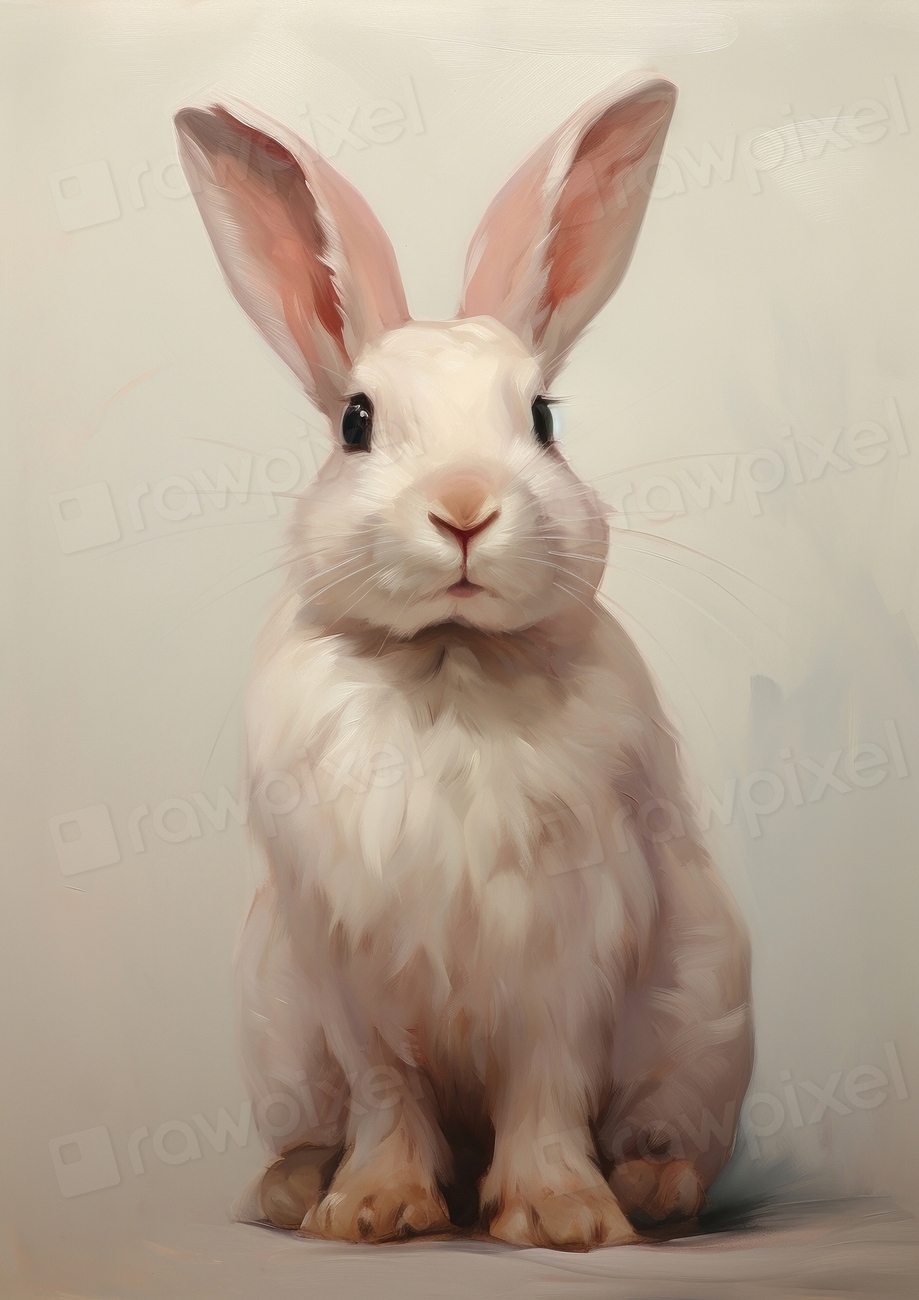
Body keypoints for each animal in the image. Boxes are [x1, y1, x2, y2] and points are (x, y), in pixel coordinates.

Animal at [174, 69, 753, 1252]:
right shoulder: (346, 965)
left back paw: (652, 1190)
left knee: (674, 1134)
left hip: (701, 1031)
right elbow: (386, 1092)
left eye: (543, 418)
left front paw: (564, 1219)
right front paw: (370, 1213)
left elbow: (546, 1086)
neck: (449, 659)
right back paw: (292, 1191)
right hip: (280, 1035)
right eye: (355, 421)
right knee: (314, 1124)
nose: (463, 509)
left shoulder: (568, 956)